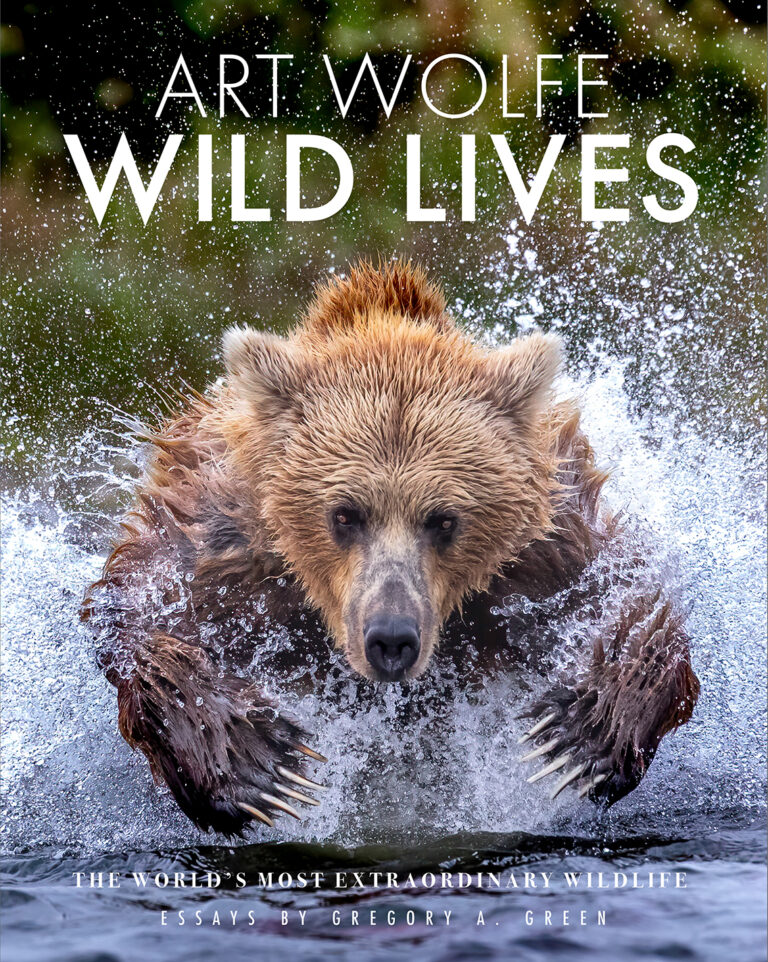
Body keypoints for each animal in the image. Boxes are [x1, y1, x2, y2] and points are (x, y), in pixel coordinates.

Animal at [82, 260, 699, 835]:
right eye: (344, 514)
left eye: (444, 519)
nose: (392, 638)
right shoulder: (223, 549)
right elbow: (133, 610)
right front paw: (254, 763)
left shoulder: (547, 556)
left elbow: (636, 600)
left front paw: (582, 735)